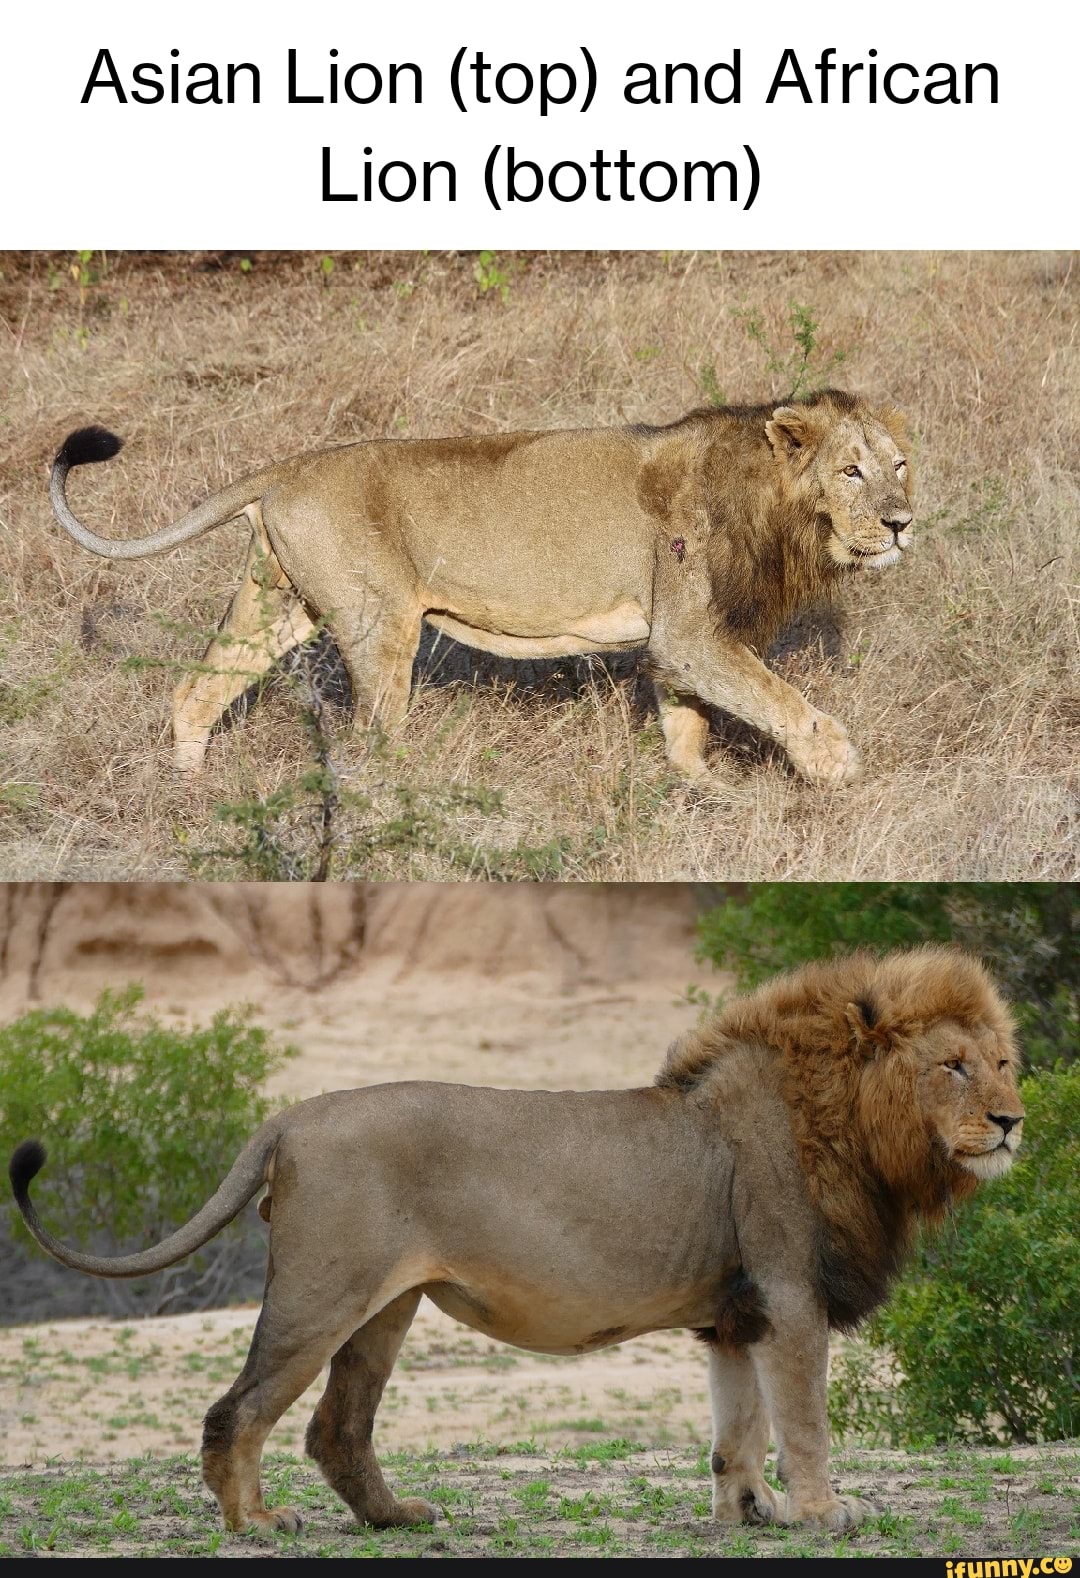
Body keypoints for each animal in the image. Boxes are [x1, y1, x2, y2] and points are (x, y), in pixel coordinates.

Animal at [9, 946, 1021, 1539]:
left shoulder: (739, 1314)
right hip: (321, 1292)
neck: (859, 1128)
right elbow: (802, 1421)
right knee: (241, 1409)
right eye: (951, 1066)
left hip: (384, 1307)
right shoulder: (789, 1294)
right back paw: (255, 1524)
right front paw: (825, 1511)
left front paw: (751, 1512)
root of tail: (291, 1115)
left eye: (1003, 1062)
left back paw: (396, 1518)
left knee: (338, 1427)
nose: (1012, 1121)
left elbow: (739, 1427)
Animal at [48, 389, 914, 784]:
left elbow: (687, 723)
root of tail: (286, 468)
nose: (903, 522)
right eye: (851, 471)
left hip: (276, 603)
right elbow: (779, 699)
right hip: (378, 624)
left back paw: (190, 785)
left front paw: (705, 793)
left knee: (195, 691)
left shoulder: (679, 642)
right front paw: (838, 768)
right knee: (371, 734)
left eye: (900, 465)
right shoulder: (692, 632)